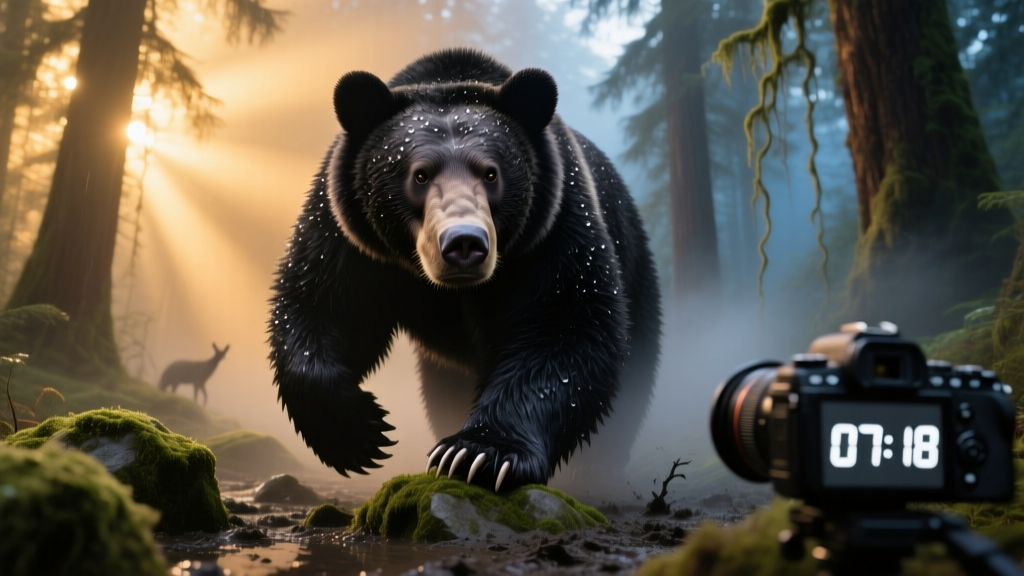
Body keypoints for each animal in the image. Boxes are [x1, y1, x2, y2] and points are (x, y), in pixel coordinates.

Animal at [268, 48, 661, 492]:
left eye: (491, 173)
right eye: (419, 174)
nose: (465, 244)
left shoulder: (552, 229)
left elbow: (565, 328)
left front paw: (478, 454)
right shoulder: (351, 236)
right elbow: (324, 306)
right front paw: (358, 432)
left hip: (635, 269)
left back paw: (594, 472)